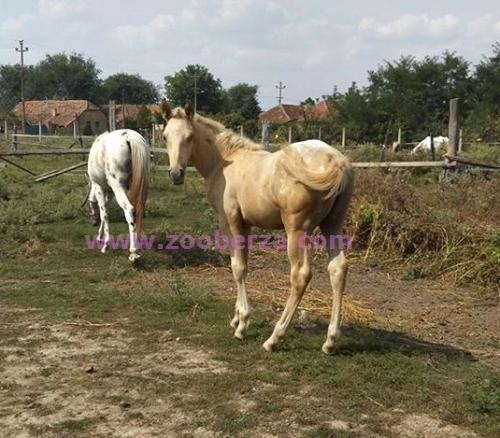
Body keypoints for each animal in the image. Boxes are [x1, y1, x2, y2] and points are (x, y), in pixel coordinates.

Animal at [87, 129, 149, 260]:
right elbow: (106, 209)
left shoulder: (99, 188)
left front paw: (105, 245)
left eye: (89, 208)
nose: (93, 223)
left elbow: (104, 214)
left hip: (118, 188)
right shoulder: (110, 192)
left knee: (129, 210)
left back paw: (133, 251)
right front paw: (100, 236)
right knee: (138, 211)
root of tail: (128, 137)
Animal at [162, 104, 354, 354]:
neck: (225, 161)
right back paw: (330, 341)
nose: (176, 174)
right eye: (165, 136)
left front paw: (242, 324)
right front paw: (236, 318)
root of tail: (336, 161)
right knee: (338, 269)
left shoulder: (230, 219)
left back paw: (274, 338)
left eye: (189, 137)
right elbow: (242, 263)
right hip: (332, 225)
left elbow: (238, 267)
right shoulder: (246, 224)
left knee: (300, 275)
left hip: (297, 230)